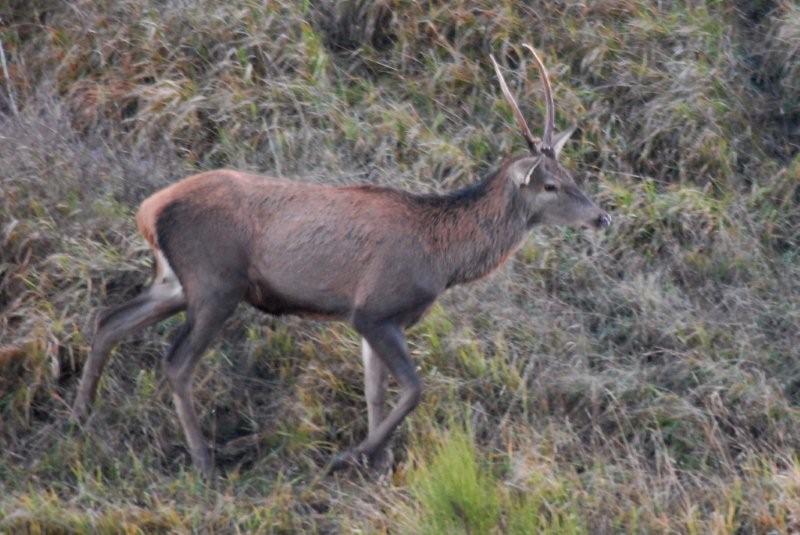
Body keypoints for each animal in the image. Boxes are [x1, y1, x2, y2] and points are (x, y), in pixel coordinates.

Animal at [72, 44, 611, 477]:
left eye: (573, 174)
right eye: (550, 185)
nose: (602, 217)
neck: (442, 255)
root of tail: (148, 211)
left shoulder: (376, 319)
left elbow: (376, 391)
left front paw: (378, 461)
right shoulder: (374, 307)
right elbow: (413, 389)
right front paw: (351, 456)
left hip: (175, 281)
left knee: (108, 320)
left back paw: (81, 414)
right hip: (215, 281)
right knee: (176, 361)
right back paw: (203, 459)